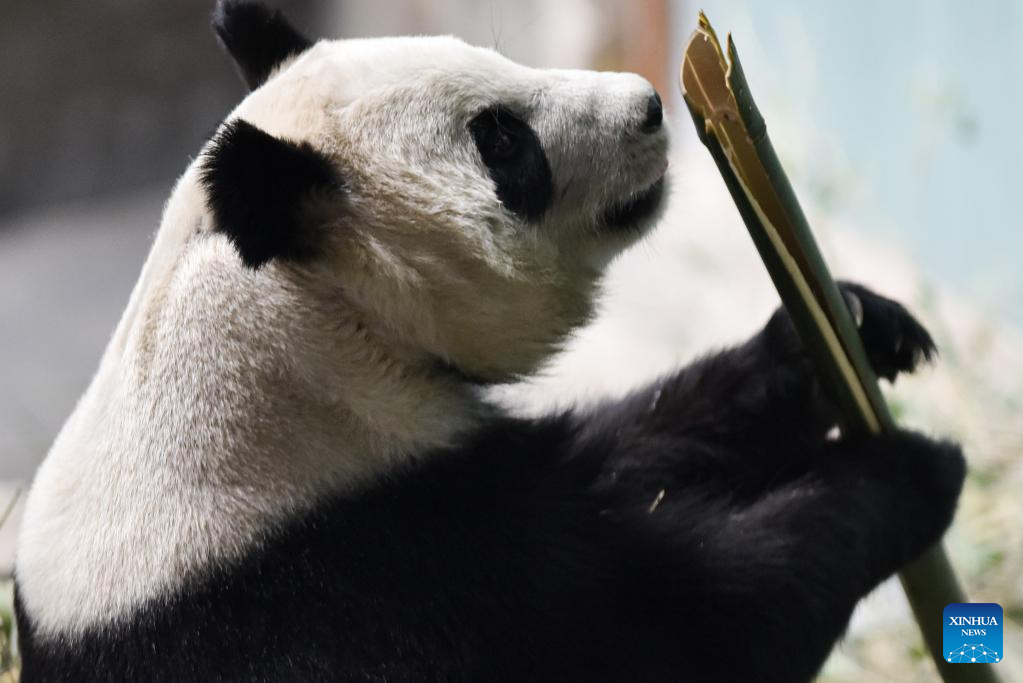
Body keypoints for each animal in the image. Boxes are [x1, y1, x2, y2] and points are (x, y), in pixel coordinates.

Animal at [14, 2, 965, 682]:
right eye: (505, 141)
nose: (650, 103)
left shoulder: (452, 470)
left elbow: (632, 451)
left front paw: (843, 329)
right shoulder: (368, 567)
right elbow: (674, 635)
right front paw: (910, 469)